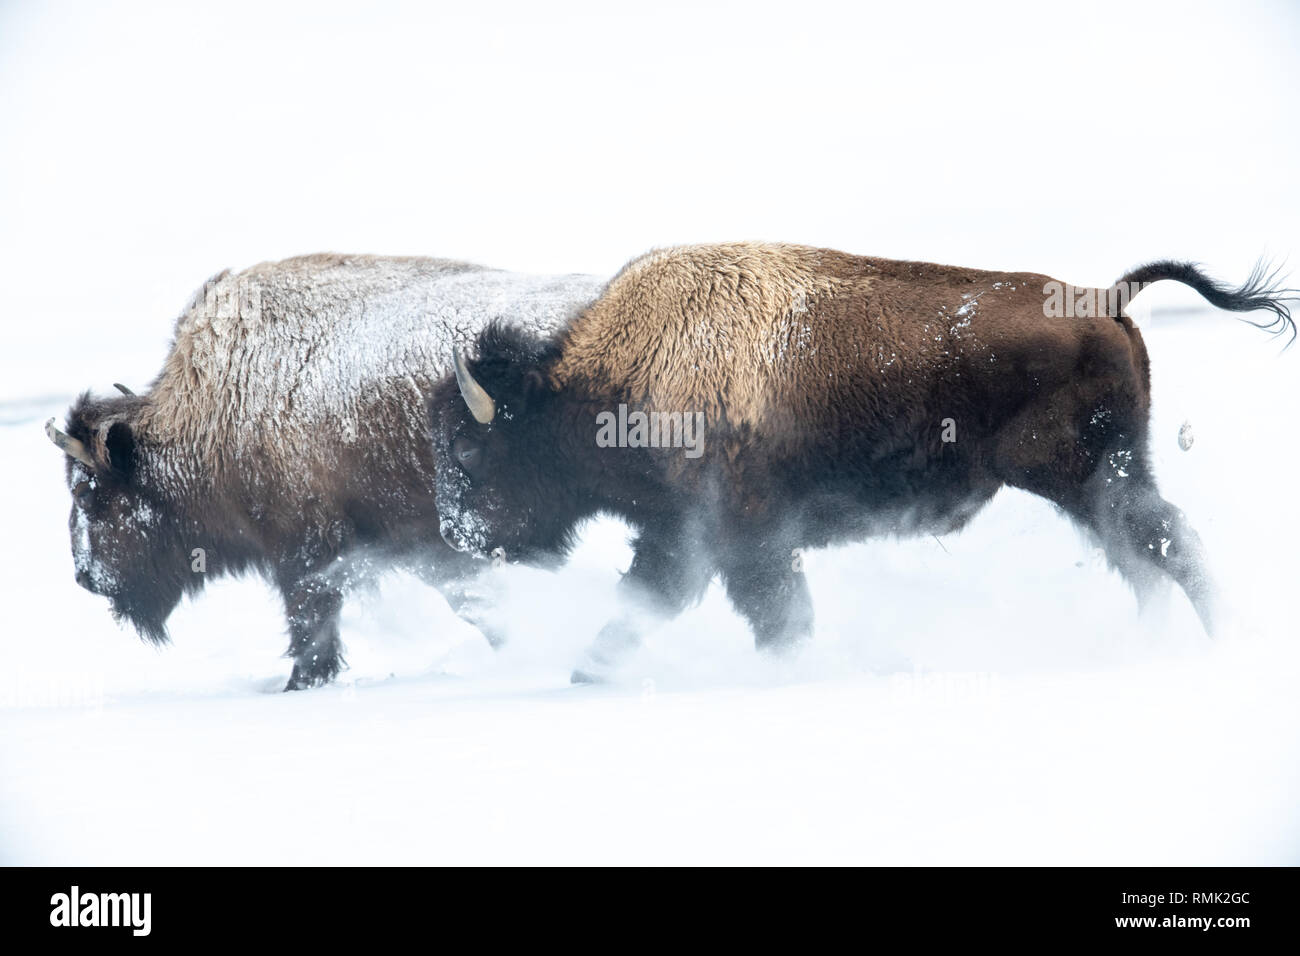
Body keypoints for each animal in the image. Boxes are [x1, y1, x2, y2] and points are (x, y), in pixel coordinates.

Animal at [48, 254, 604, 689]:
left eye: (87, 493)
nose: (84, 577)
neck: (214, 409)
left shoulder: (307, 547)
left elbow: (311, 622)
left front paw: (299, 684)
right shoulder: (405, 542)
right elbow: (471, 602)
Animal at [431, 242, 1294, 680]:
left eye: (471, 450)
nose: (459, 537)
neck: (614, 381)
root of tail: (1104, 298)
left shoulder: (739, 537)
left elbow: (770, 612)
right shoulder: (686, 536)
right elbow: (650, 598)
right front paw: (590, 670)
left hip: (1085, 474)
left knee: (1165, 544)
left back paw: (1215, 646)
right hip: (1098, 480)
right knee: (1141, 557)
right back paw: (1153, 648)